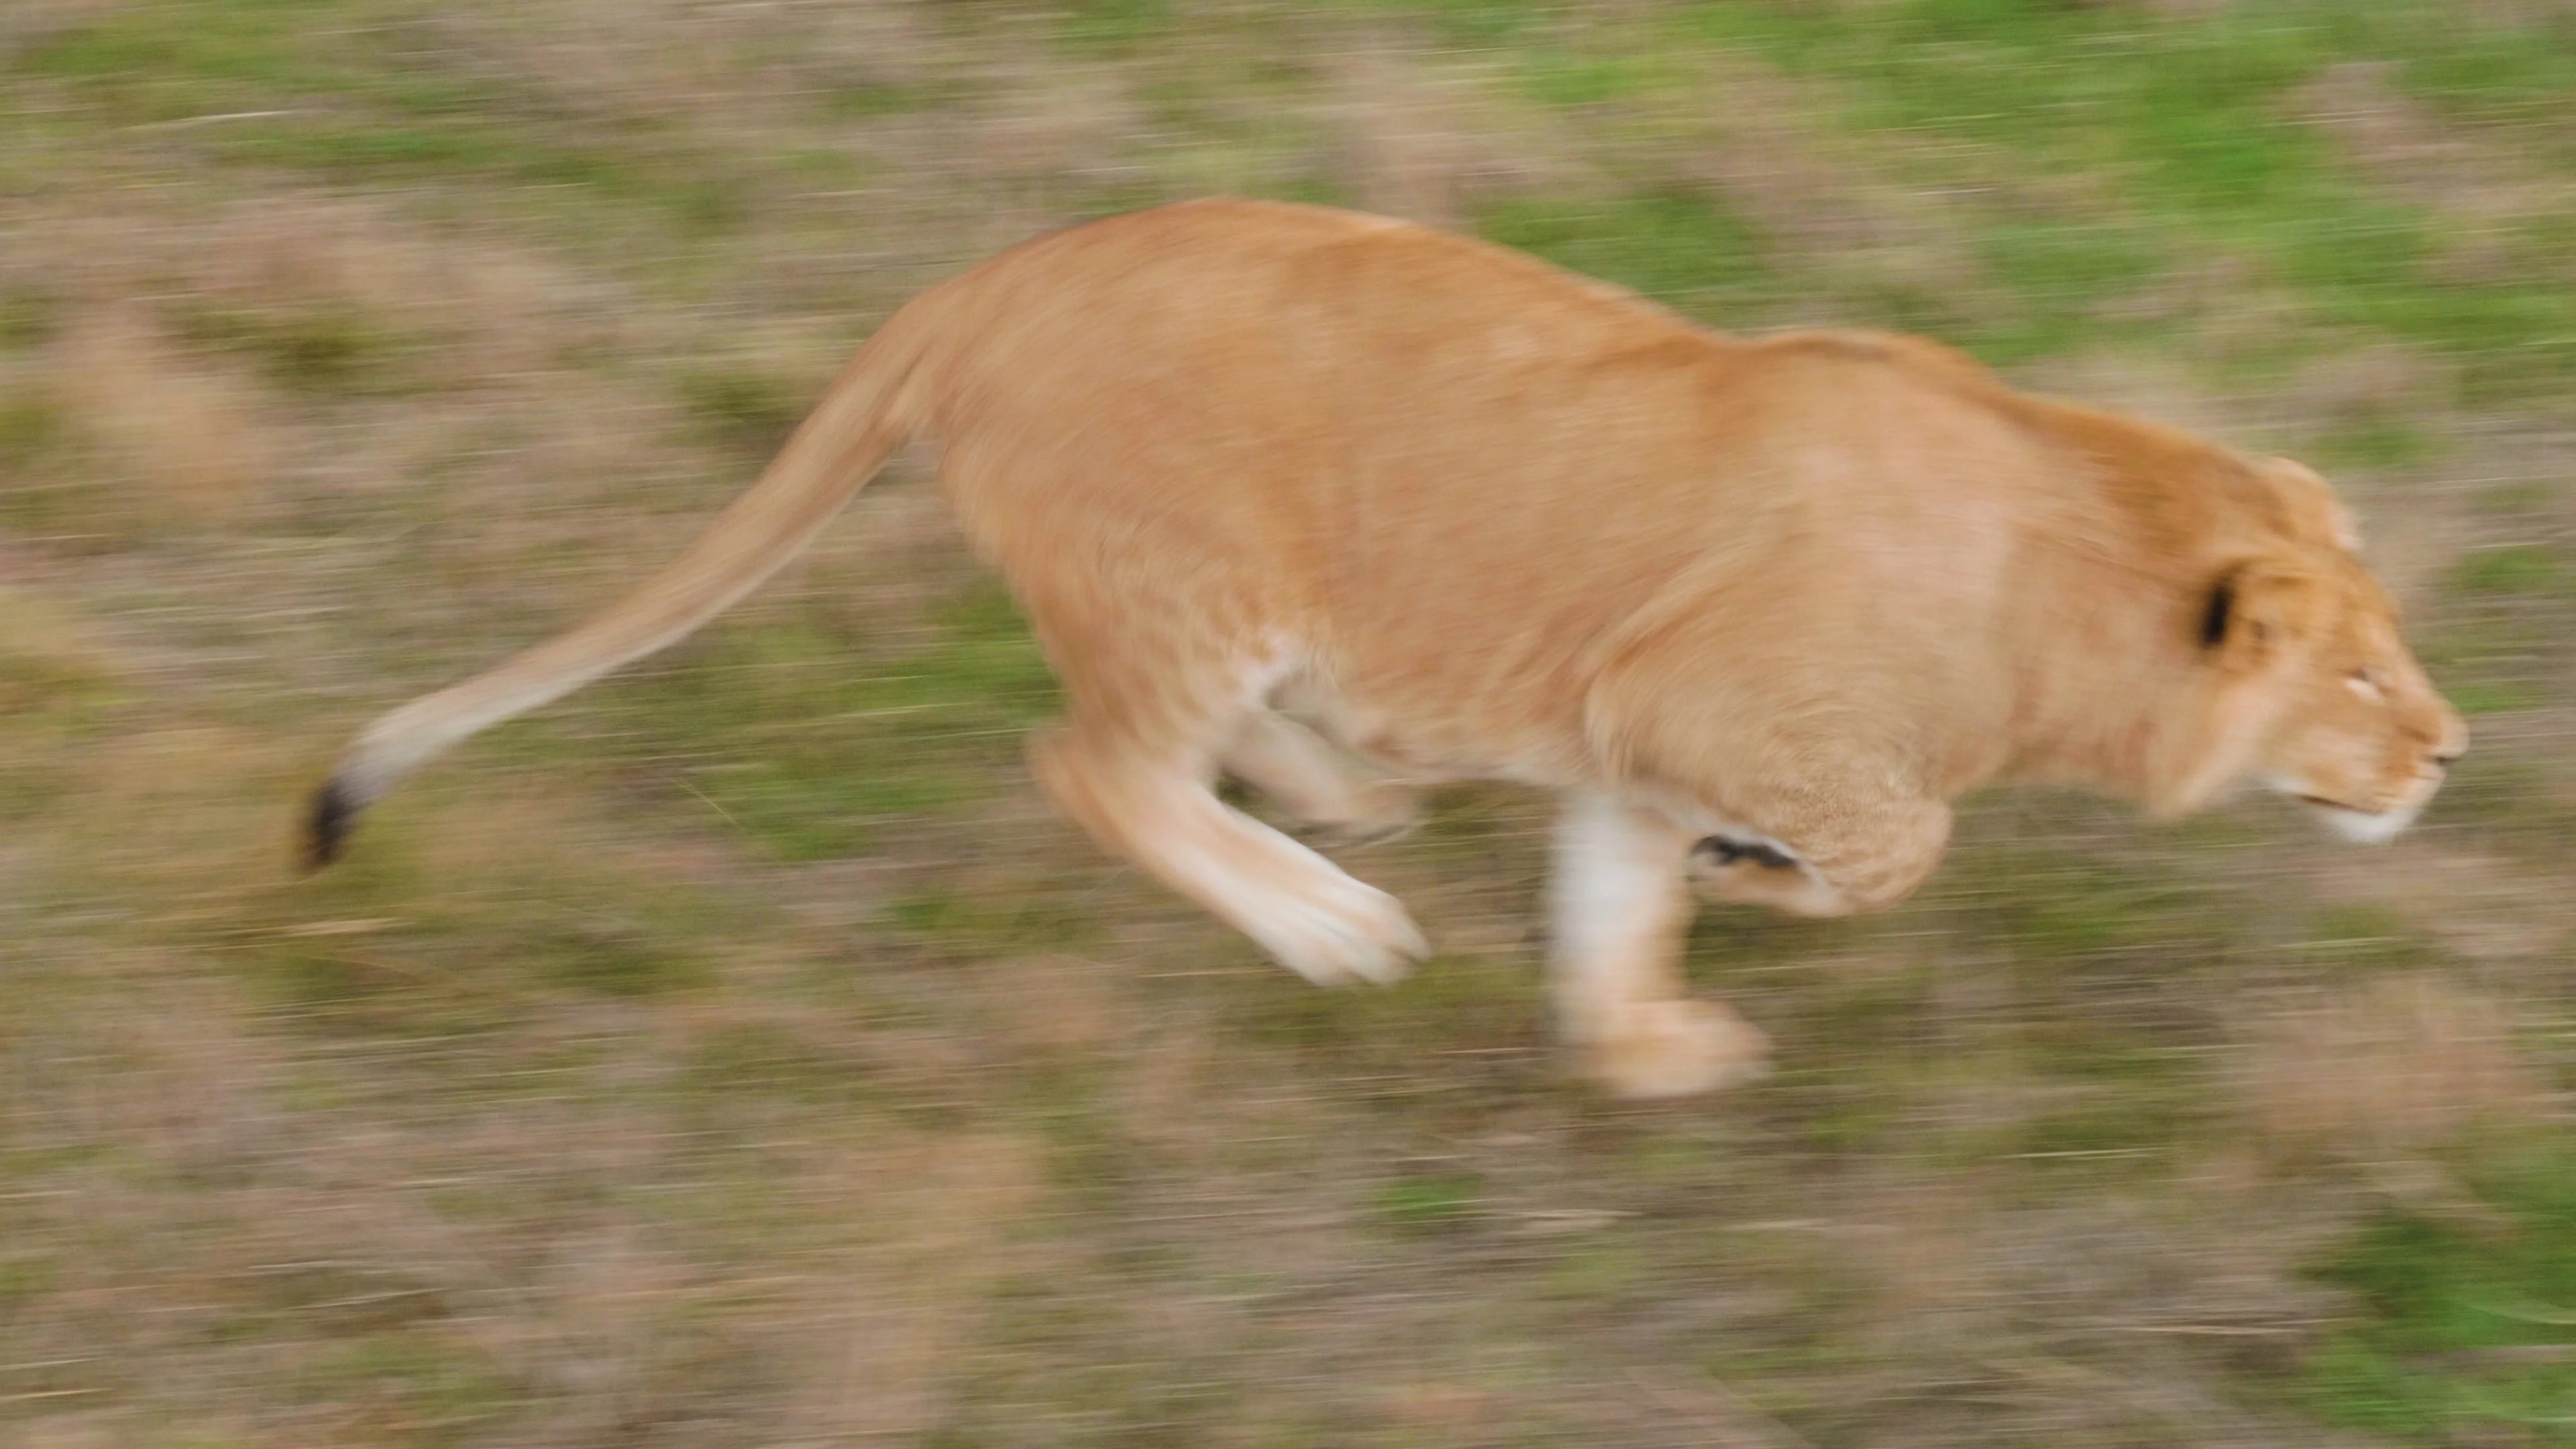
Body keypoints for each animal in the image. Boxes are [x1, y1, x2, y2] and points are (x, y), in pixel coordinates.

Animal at [301, 198, 2466, 1098]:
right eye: (2359, 675)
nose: (2448, 751)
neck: (2065, 581)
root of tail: (984, 279)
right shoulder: (1710, 706)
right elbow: (1889, 848)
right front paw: (1748, 889)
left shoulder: (1624, 735)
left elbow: (1614, 914)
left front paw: (1645, 1052)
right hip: (1190, 576)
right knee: (1094, 765)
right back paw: (1330, 917)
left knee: (1197, 750)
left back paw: (1347, 796)